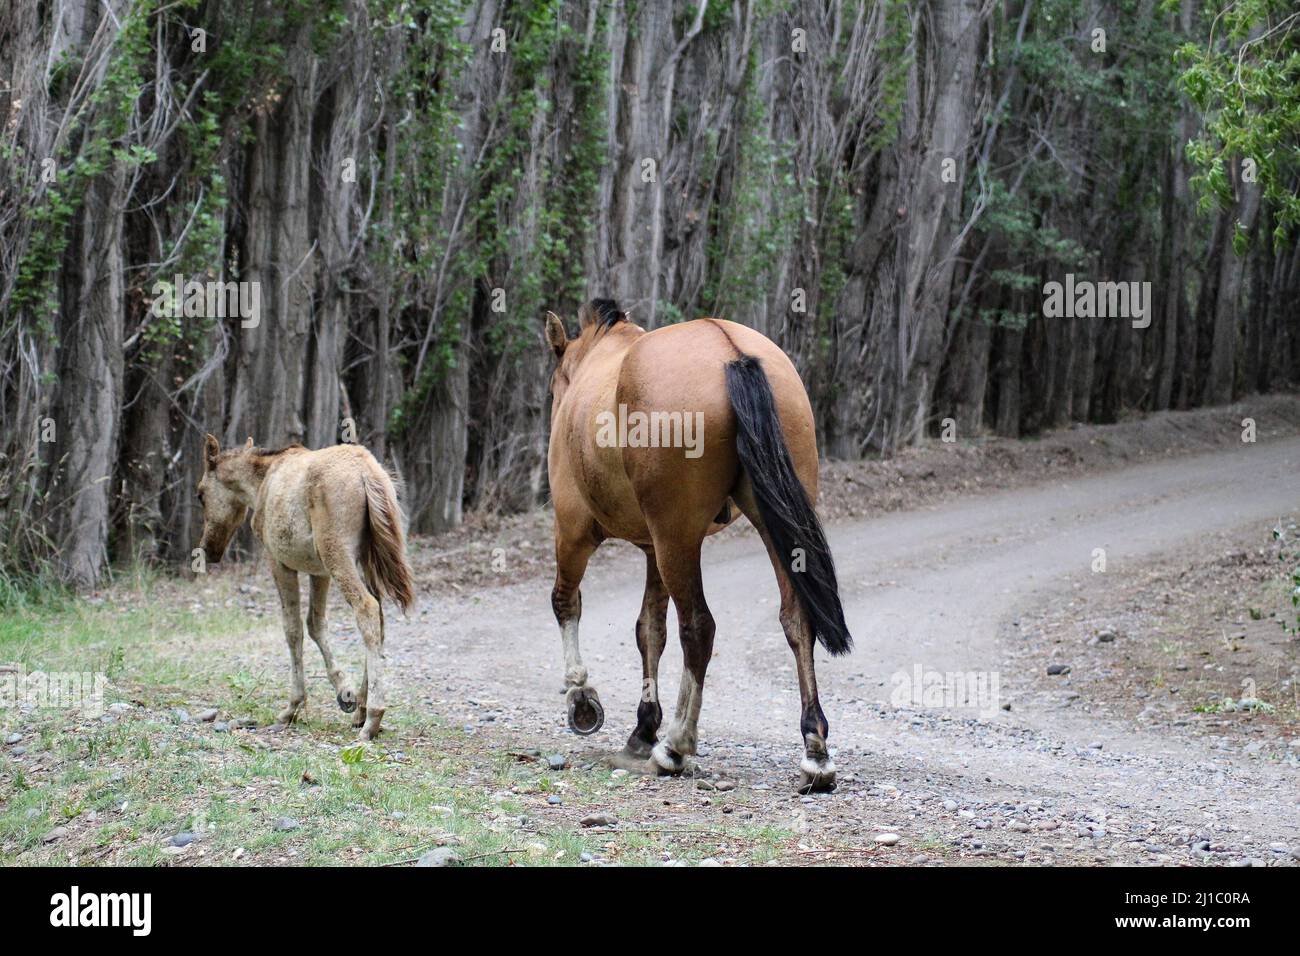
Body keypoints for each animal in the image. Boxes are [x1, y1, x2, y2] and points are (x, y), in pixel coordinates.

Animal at [196, 436, 414, 740]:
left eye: (201, 494)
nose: (208, 549)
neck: (262, 482)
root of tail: (367, 473)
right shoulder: (318, 571)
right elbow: (315, 624)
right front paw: (344, 692)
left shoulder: (279, 562)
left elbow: (293, 630)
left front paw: (292, 707)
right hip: (366, 559)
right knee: (379, 620)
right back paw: (361, 710)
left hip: (339, 555)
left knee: (367, 609)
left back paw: (373, 717)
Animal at [544, 299, 852, 791]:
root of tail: (731, 352)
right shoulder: (654, 548)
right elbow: (650, 630)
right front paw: (642, 726)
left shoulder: (574, 531)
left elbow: (566, 603)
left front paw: (581, 697)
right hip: (762, 529)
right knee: (796, 619)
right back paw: (815, 752)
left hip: (676, 539)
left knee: (699, 628)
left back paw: (675, 747)